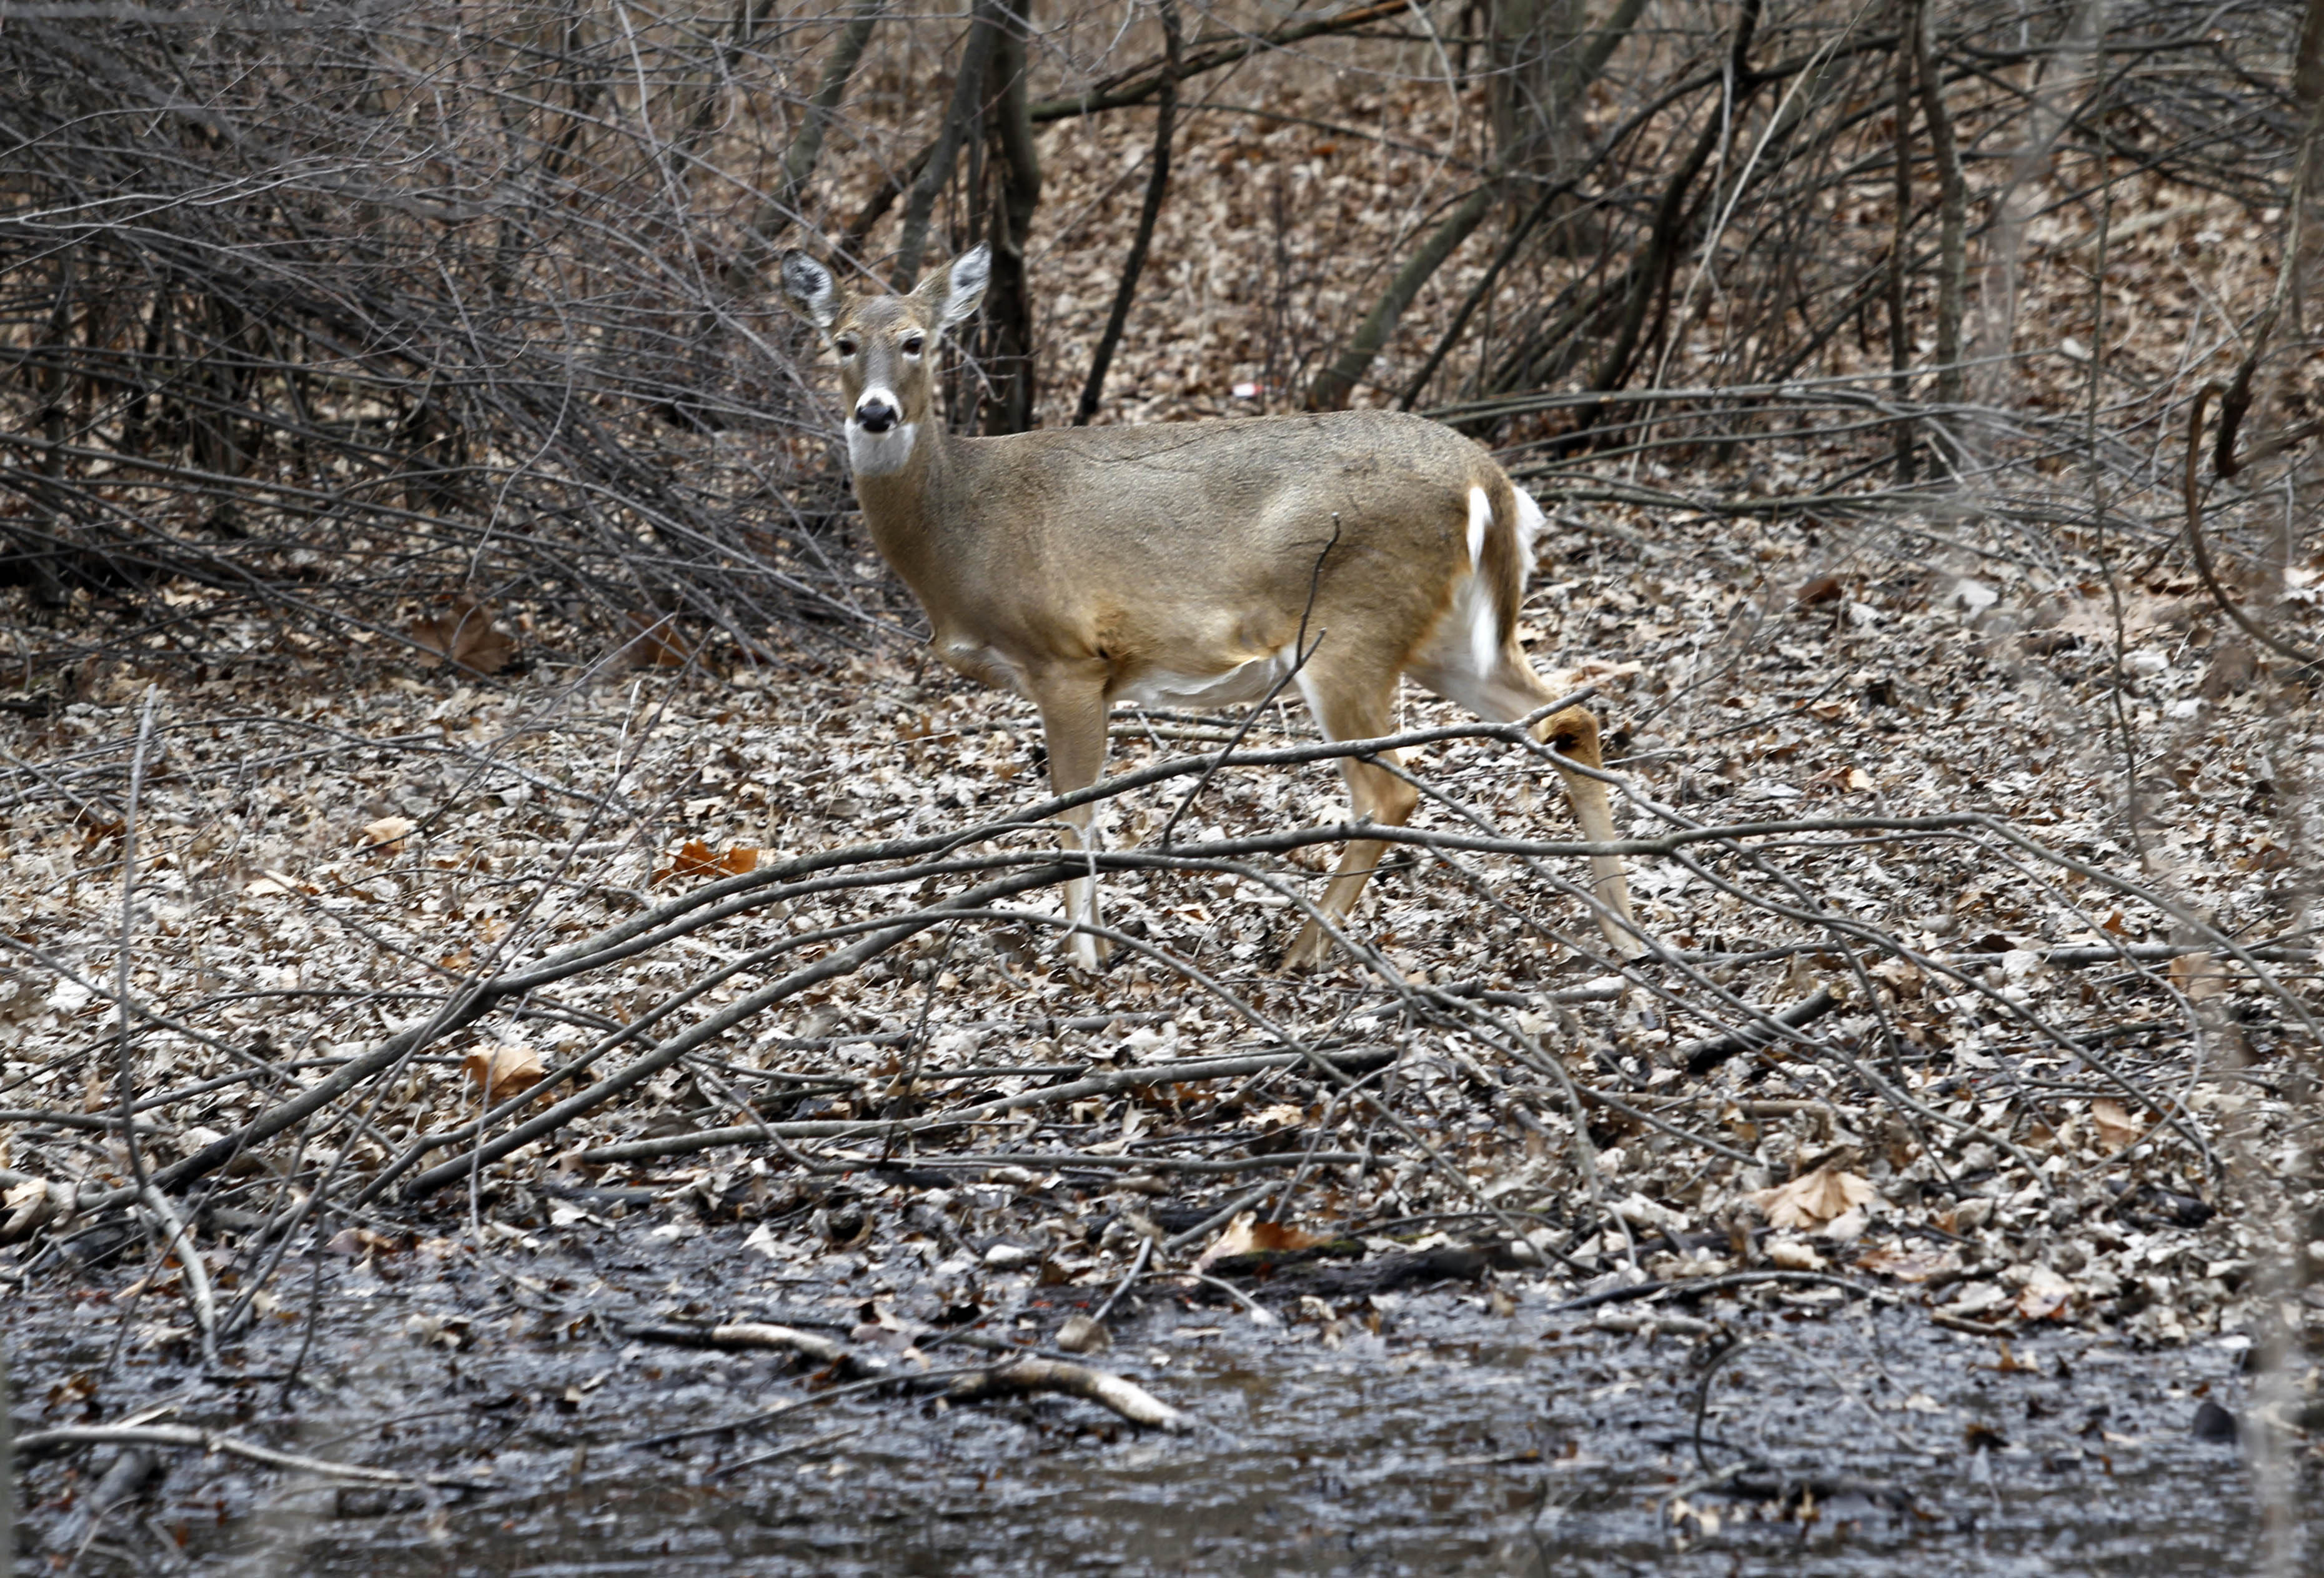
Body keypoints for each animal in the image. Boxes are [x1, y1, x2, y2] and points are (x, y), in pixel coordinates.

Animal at [779, 244, 1640, 971]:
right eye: (842, 343)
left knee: (1390, 792)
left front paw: (1088, 961)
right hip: (1447, 634)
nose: (877, 413)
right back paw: (1624, 936)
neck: (960, 530)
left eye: (918, 341)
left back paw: (1304, 953)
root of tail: (1488, 477)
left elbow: (1074, 814)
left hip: (1348, 630)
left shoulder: (1068, 660)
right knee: (1569, 717)